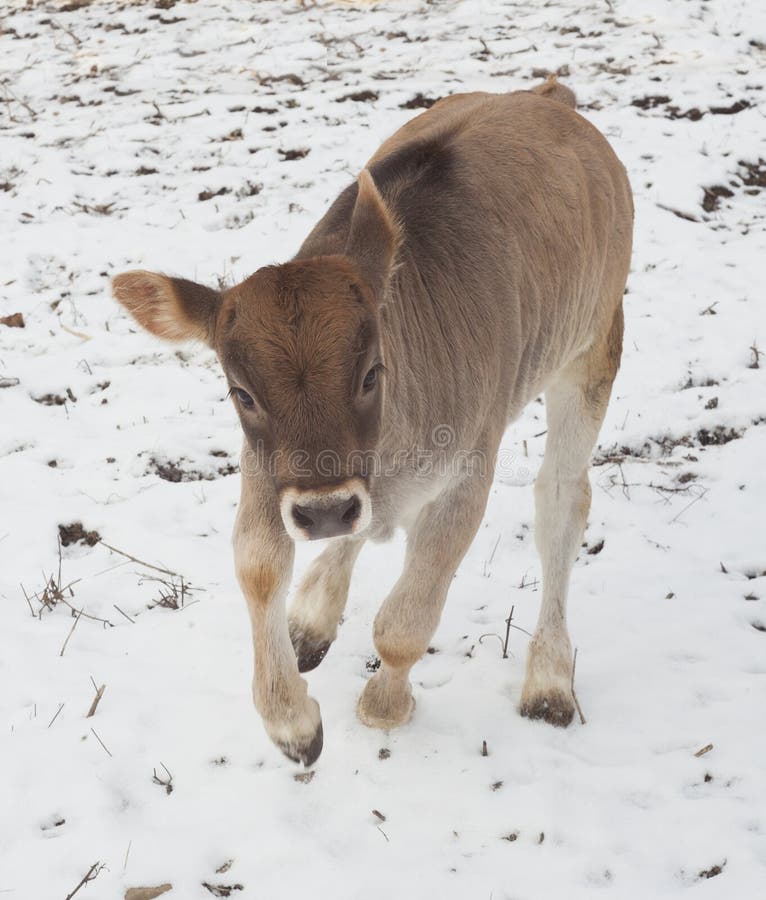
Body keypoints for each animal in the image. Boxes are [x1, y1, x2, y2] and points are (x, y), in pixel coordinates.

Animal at [112, 77, 633, 766]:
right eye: (241, 392)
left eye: (369, 373)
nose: (327, 509)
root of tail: (545, 95)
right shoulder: (270, 469)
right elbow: (259, 566)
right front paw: (291, 720)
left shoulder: (468, 469)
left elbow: (405, 622)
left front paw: (384, 705)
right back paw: (312, 614)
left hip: (592, 344)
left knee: (561, 500)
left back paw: (548, 677)